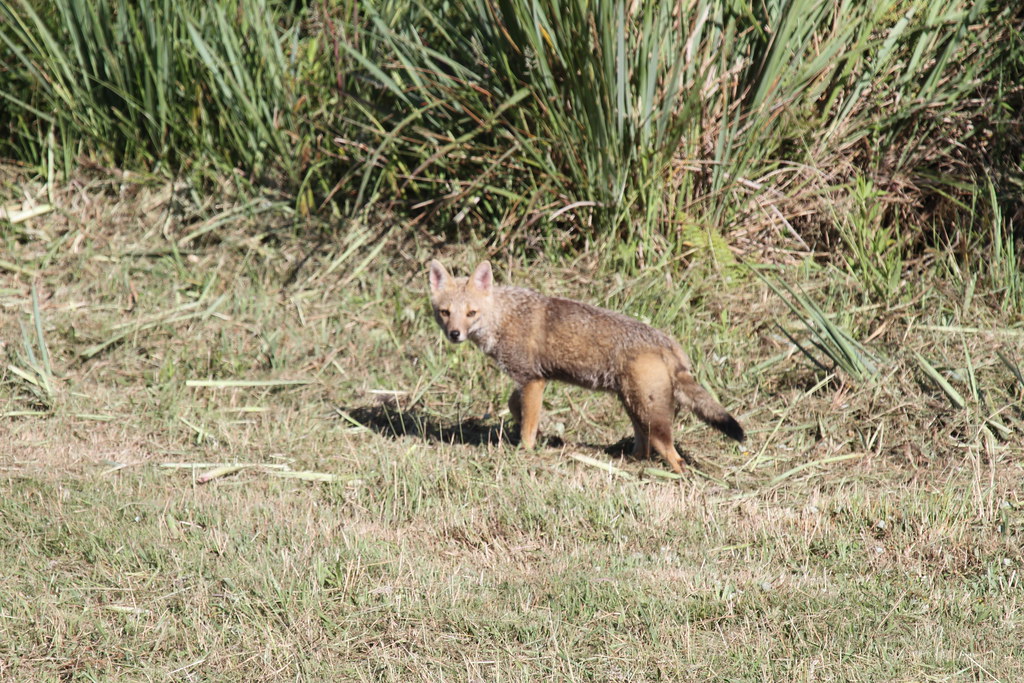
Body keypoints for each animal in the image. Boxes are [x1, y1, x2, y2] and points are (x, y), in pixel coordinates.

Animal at [427, 259, 744, 474]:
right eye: (445, 312)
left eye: (471, 313)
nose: (454, 334)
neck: (503, 317)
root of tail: (668, 343)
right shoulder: (527, 380)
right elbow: (514, 404)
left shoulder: (533, 380)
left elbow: (528, 424)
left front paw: (525, 451)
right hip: (633, 407)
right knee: (644, 447)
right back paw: (630, 462)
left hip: (650, 416)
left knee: (673, 455)